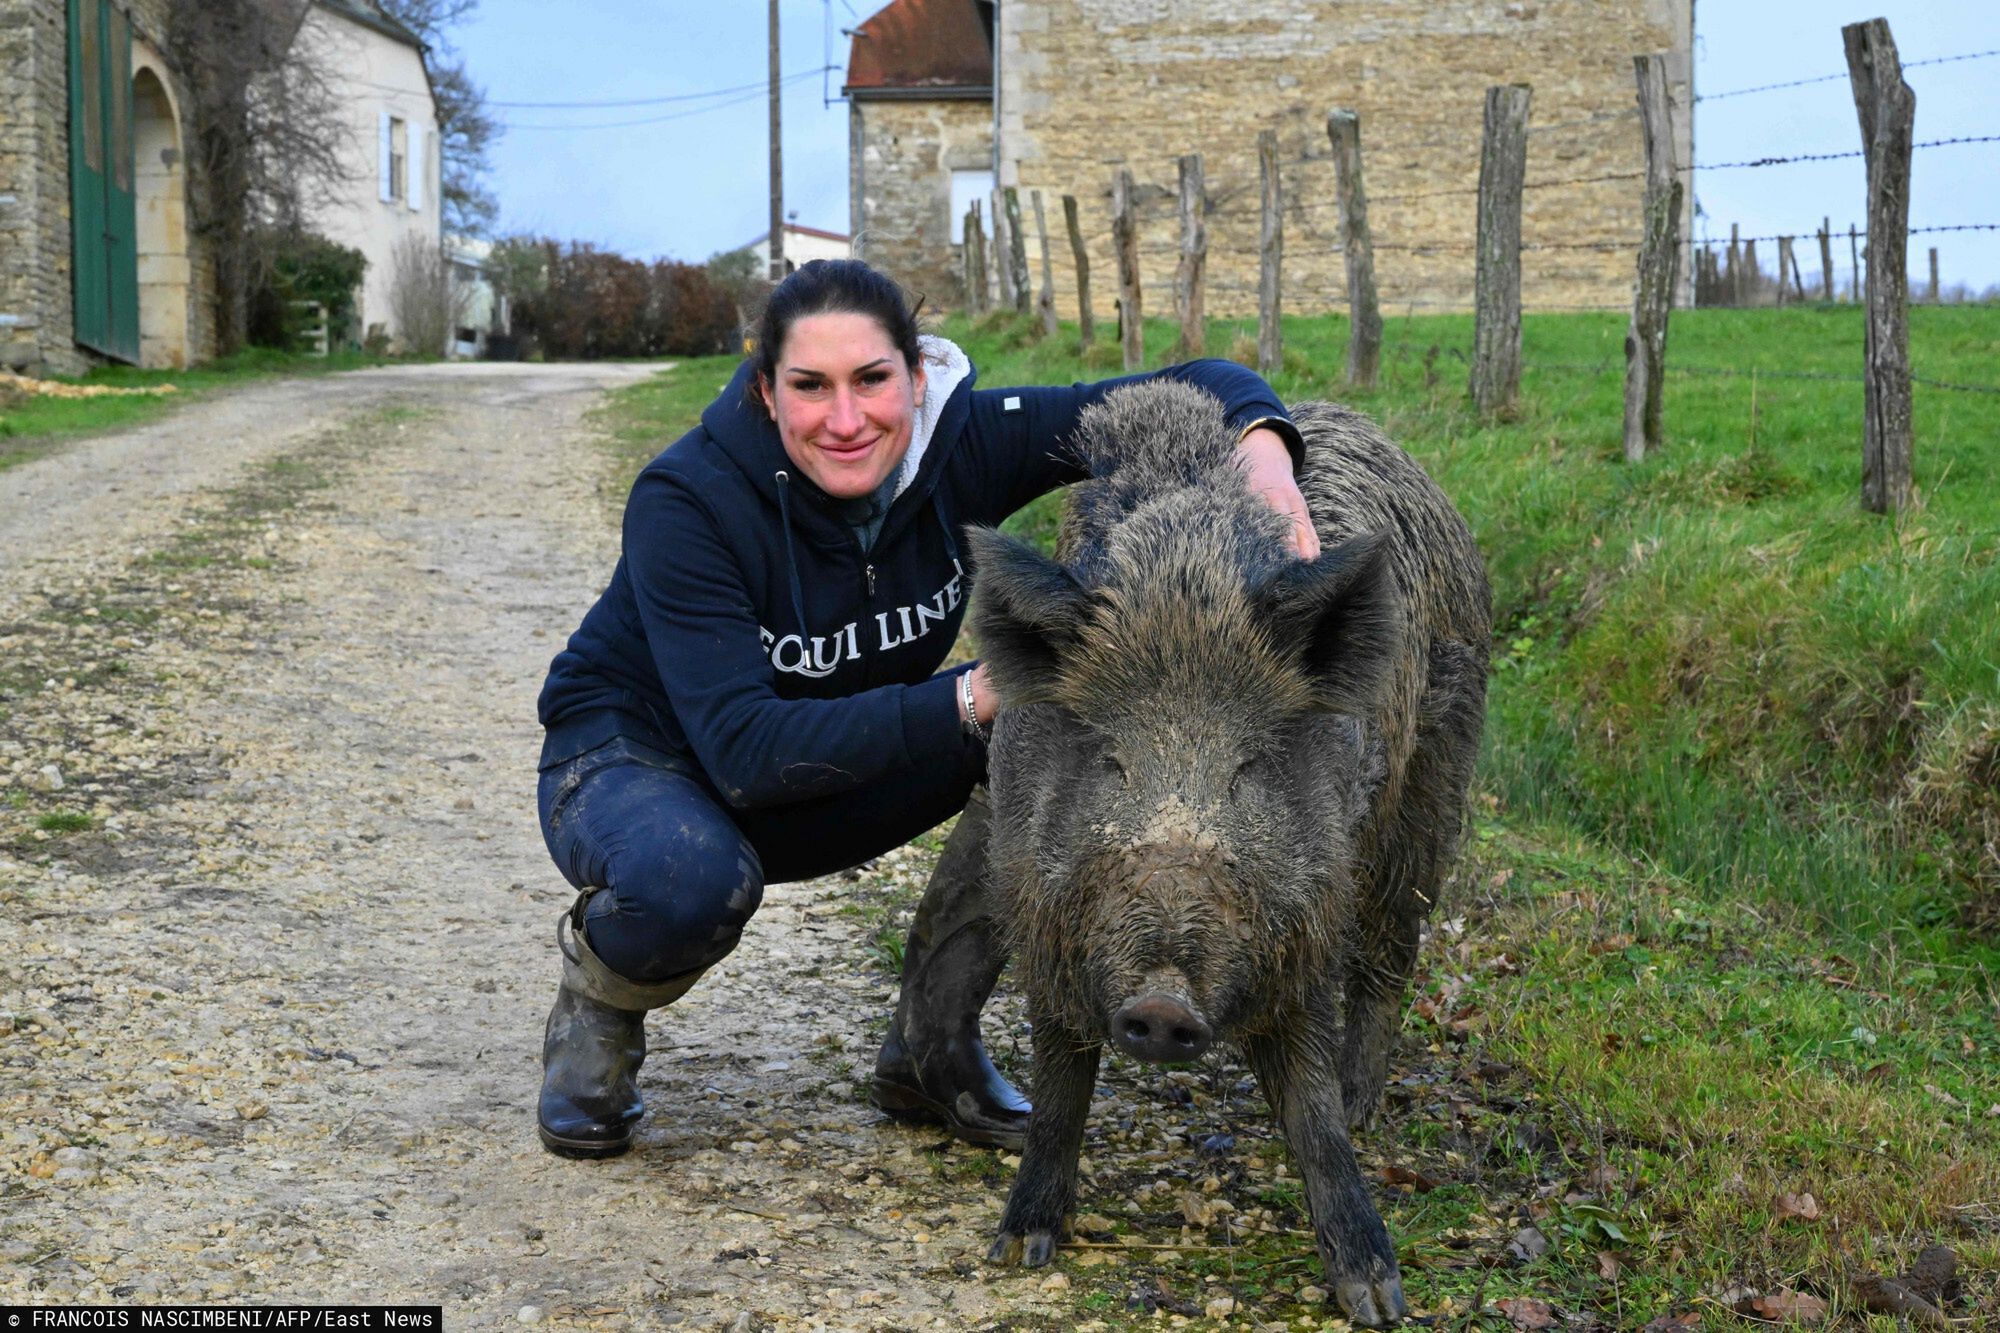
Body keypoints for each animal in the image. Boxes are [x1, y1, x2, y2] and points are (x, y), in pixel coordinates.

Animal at [968, 381, 1490, 1326]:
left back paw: (1365, 1105)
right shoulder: (1039, 905)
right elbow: (1060, 1081)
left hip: (1430, 794)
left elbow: (1312, 1103)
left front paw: (1378, 1298)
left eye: (1248, 766)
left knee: (1391, 956)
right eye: (1112, 759)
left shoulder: (1310, 907)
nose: (1162, 1002)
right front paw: (1016, 1249)